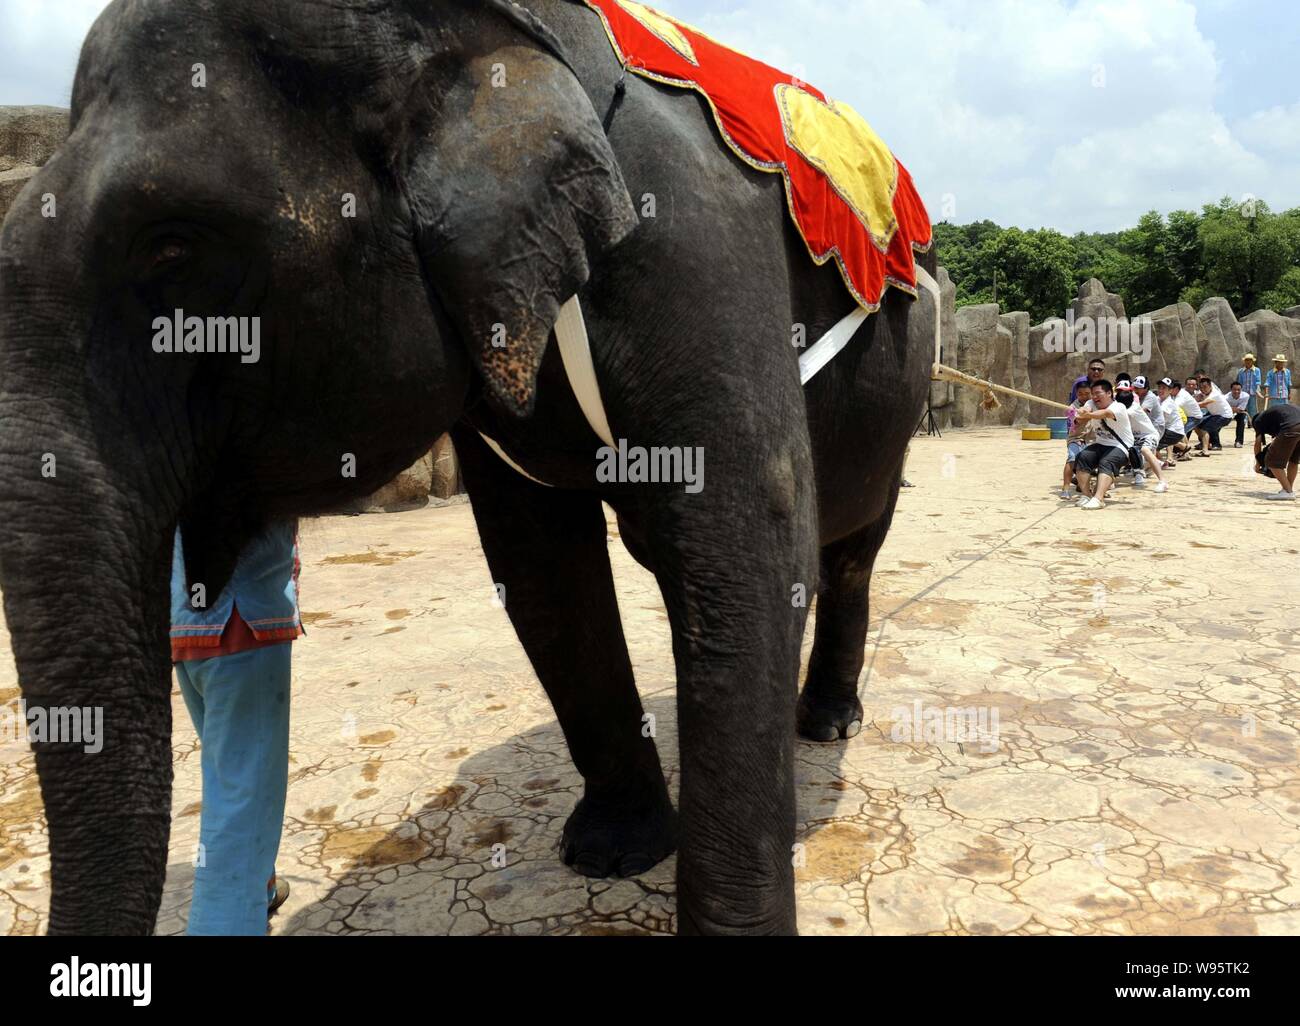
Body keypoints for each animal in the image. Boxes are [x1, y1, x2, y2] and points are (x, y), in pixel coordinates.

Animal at [0, 0, 935, 935]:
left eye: (171, 248)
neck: (482, 30)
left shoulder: (694, 243)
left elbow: (748, 543)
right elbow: (541, 564)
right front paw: (611, 855)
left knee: (849, 548)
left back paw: (826, 725)